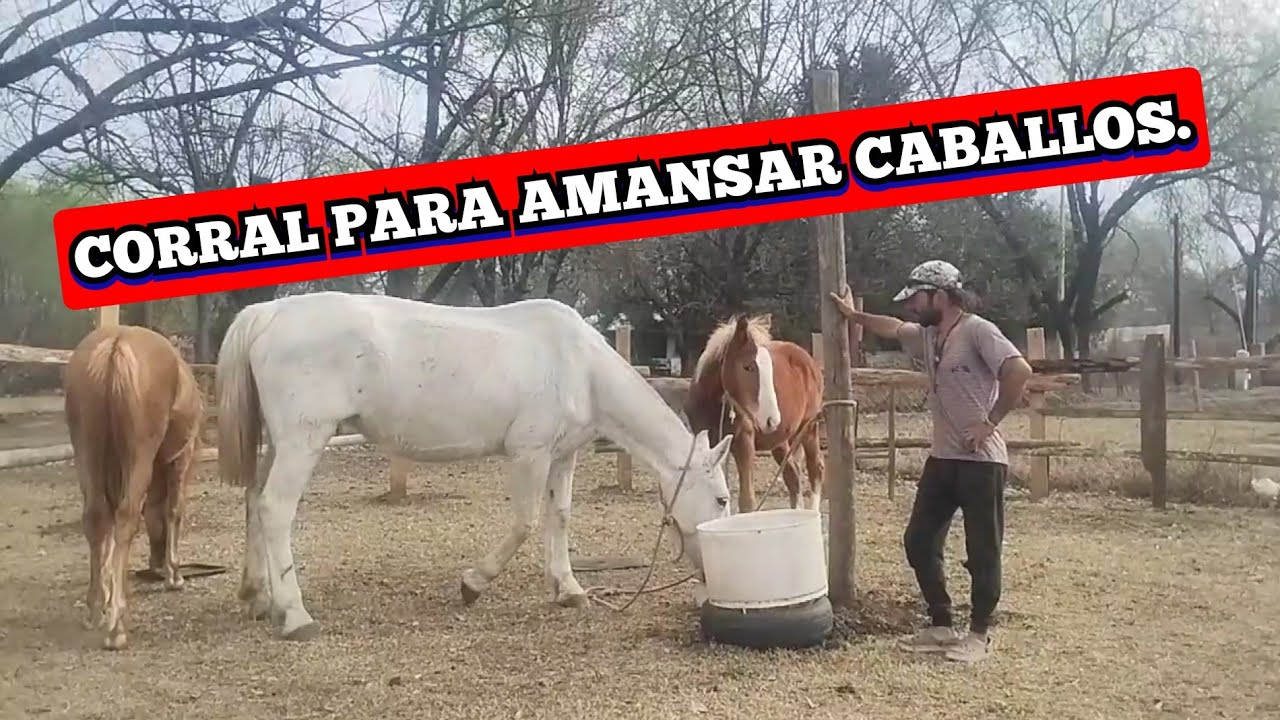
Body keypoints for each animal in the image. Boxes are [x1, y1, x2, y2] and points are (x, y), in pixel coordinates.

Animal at [63, 324, 204, 650]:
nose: (156, 565)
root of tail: (116, 346)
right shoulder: (182, 459)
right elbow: (173, 511)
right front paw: (174, 575)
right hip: (139, 456)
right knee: (126, 518)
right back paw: (116, 627)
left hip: (88, 455)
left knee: (96, 519)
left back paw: (96, 609)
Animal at [215, 291, 734, 641]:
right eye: (722, 498)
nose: (709, 575)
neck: (579, 364)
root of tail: (267, 314)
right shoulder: (530, 453)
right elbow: (525, 522)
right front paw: (473, 584)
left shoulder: (562, 455)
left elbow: (559, 518)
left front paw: (568, 588)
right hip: (303, 440)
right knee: (275, 509)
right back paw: (295, 615)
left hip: (278, 444)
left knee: (253, 501)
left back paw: (258, 598)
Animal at [685, 315, 825, 513]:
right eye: (747, 367)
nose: (772, 419)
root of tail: (809, 361)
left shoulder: (744, 441)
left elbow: (747, 501)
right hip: (781, 440)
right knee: (793, 476)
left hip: (809, 427)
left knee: (815, 468)